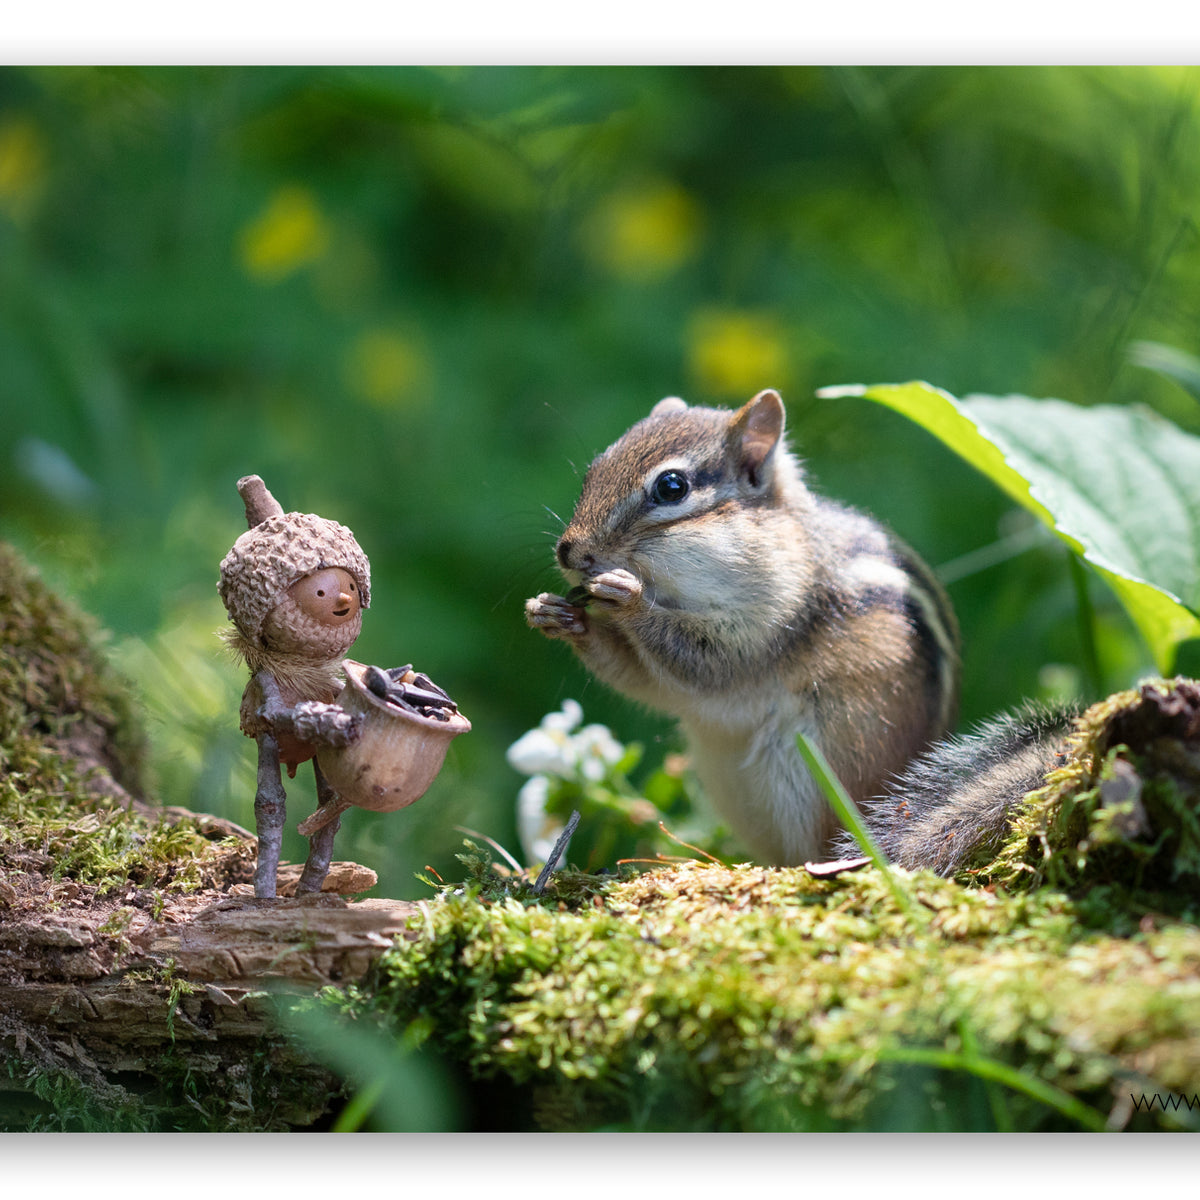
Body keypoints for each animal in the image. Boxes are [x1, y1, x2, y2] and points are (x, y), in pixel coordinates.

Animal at [525, 388, 1073, 873]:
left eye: (672, 487)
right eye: (593, 469)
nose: (569, 553)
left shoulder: (777, 615)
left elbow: (708, 662)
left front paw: (628, 597)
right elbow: (648, 683)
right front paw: (557, 614)